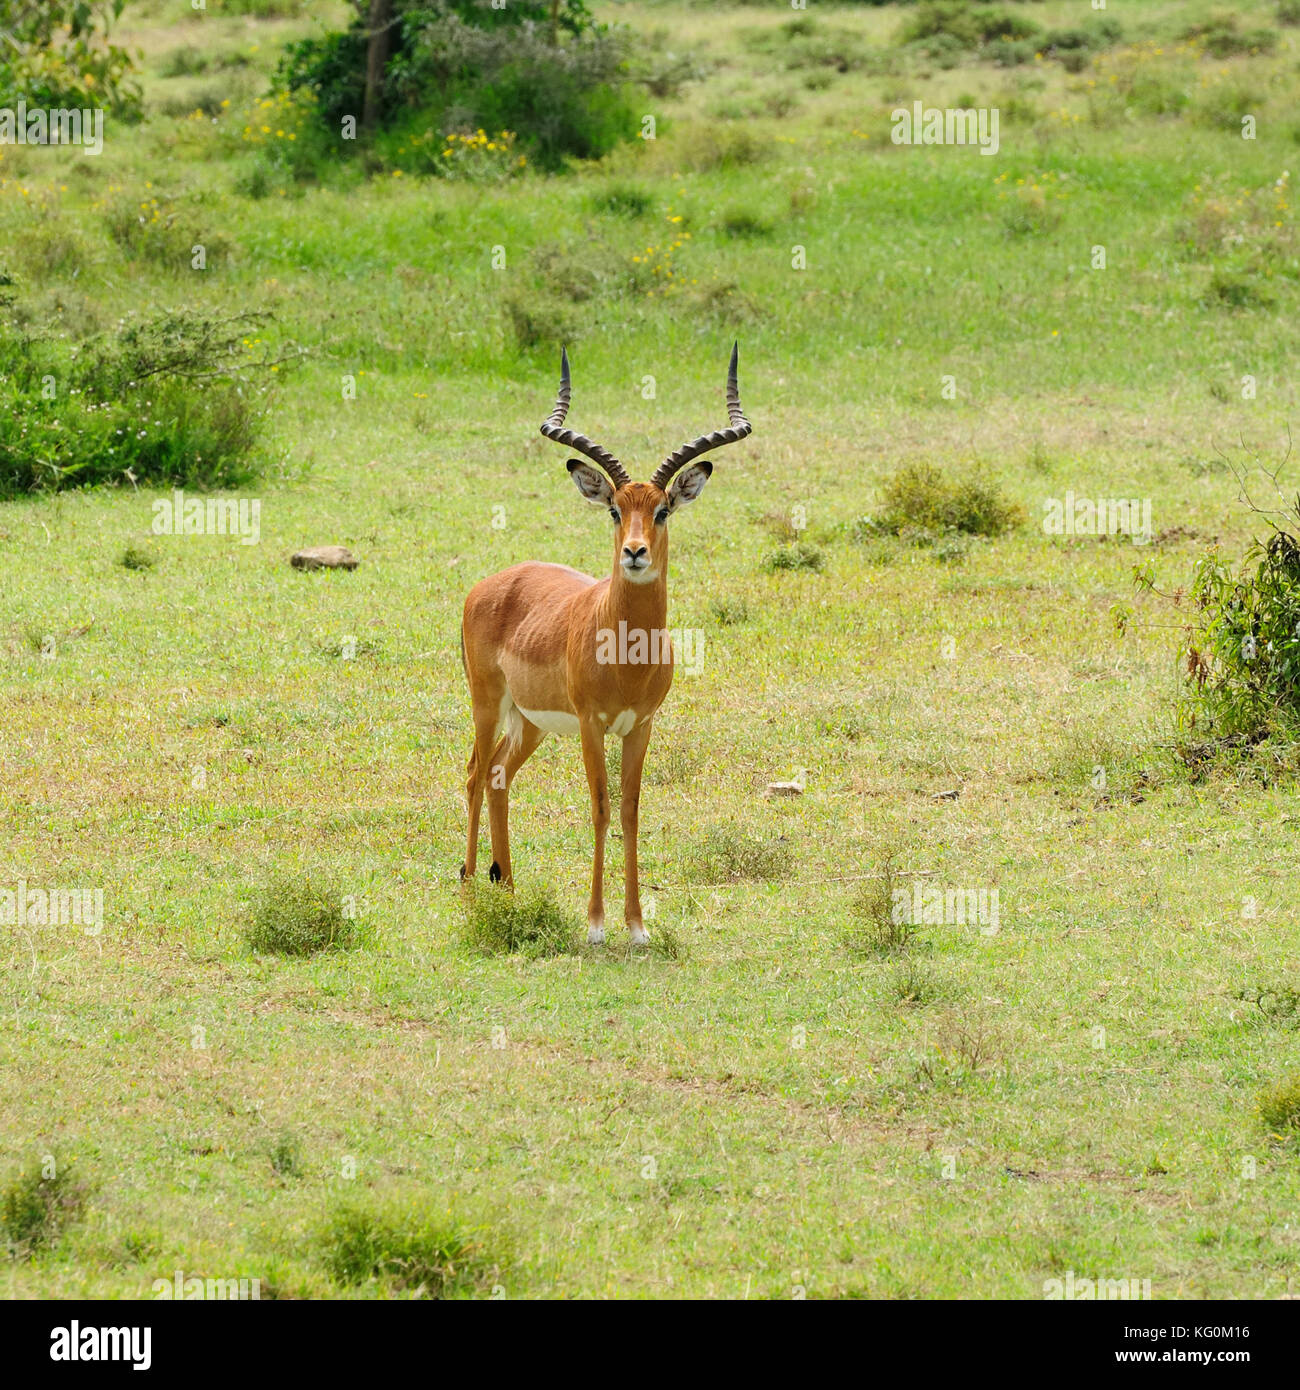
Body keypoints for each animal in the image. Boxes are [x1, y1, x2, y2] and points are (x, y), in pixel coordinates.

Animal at [459, 345, 752, 943]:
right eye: (616, 508)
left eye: (662, 509)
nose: (634, 552)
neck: (627, 657)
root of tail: (490, 583)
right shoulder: (593, 725)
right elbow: (598, 806)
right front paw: (595, 924)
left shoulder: (640, 725)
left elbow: (631, 810)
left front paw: (636, 925)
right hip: (487, 704)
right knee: (475, 773)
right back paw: (474, 885)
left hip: (529, 722)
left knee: (498, 776)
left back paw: (509, 887)